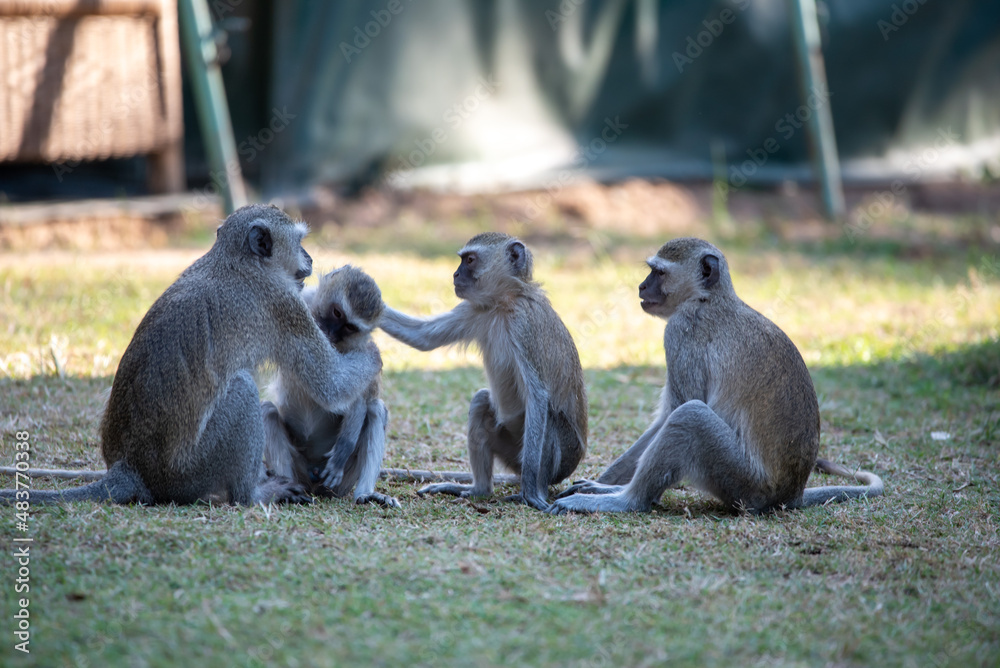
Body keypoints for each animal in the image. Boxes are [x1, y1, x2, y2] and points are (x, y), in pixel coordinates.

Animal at [0, 204, 382, 506]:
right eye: (300, 242)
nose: (310, 259)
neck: (235, 261)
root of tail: (131, 469)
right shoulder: (284, 305)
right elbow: (330, 384)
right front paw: (375, 356)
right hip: (193, 469)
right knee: (242, 388)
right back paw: (252, 494)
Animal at [261, 265, 400, 508]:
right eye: (337, 313)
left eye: (350, 327)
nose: (332, 332)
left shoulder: (358, 345)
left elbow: (355, 394)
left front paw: (344, 446)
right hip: (301, 469)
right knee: (268, 412)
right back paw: (288, 491)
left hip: (342, 483)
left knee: (375, 408)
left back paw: (365, 493)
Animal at [378, 232, 587, 511]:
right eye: (462, 260)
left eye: (469, 260)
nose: (455, 274)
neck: (504, 302)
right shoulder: (475, 310)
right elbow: (422, 337)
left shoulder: (524, 324)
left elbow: (538, 396)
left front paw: (531, 493)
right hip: (512, 453)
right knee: (480, 401)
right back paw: (479, 490)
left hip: (560, 458)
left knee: (549, 417)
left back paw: (534, 488)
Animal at [549, 237, 884, 515]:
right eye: (651, 272)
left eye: (659, 273)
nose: (641, 287)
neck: (707, 298)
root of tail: (791, 494)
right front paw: (600, 482)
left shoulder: (682, 331)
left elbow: (678, 408)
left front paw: (607, 490)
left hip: (743, 481)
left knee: (690, 416)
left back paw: (626, 500)